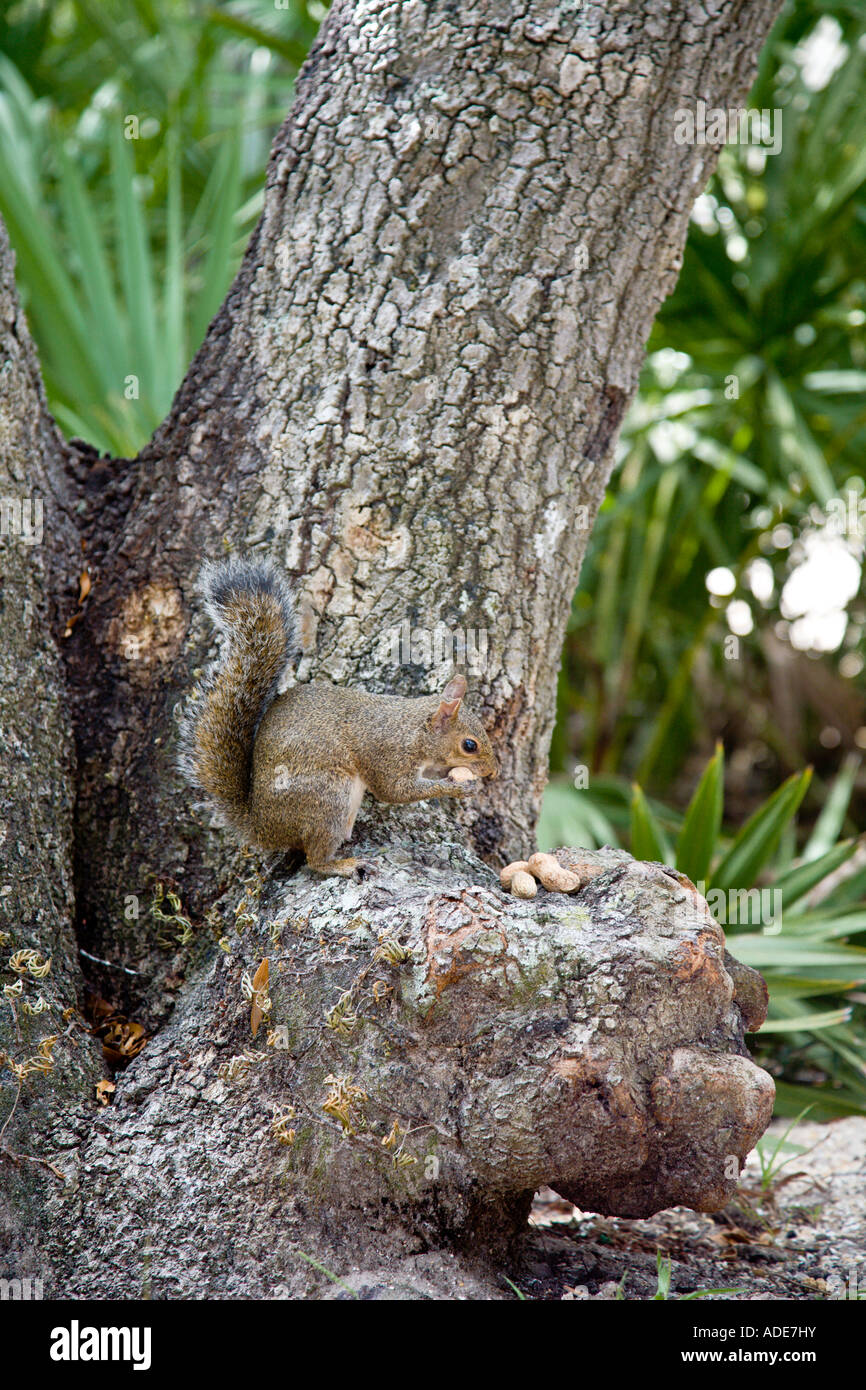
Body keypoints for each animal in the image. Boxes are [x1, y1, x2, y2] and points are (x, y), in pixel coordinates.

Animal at [179, 557, 499, 876]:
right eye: (469, 745)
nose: (493, 773)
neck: (413, 730)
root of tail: (260, 826)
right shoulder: (388, 756)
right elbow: (395, 791)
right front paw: (455, 788)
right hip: (328, 798)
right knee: (314, 859)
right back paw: (344, 864)